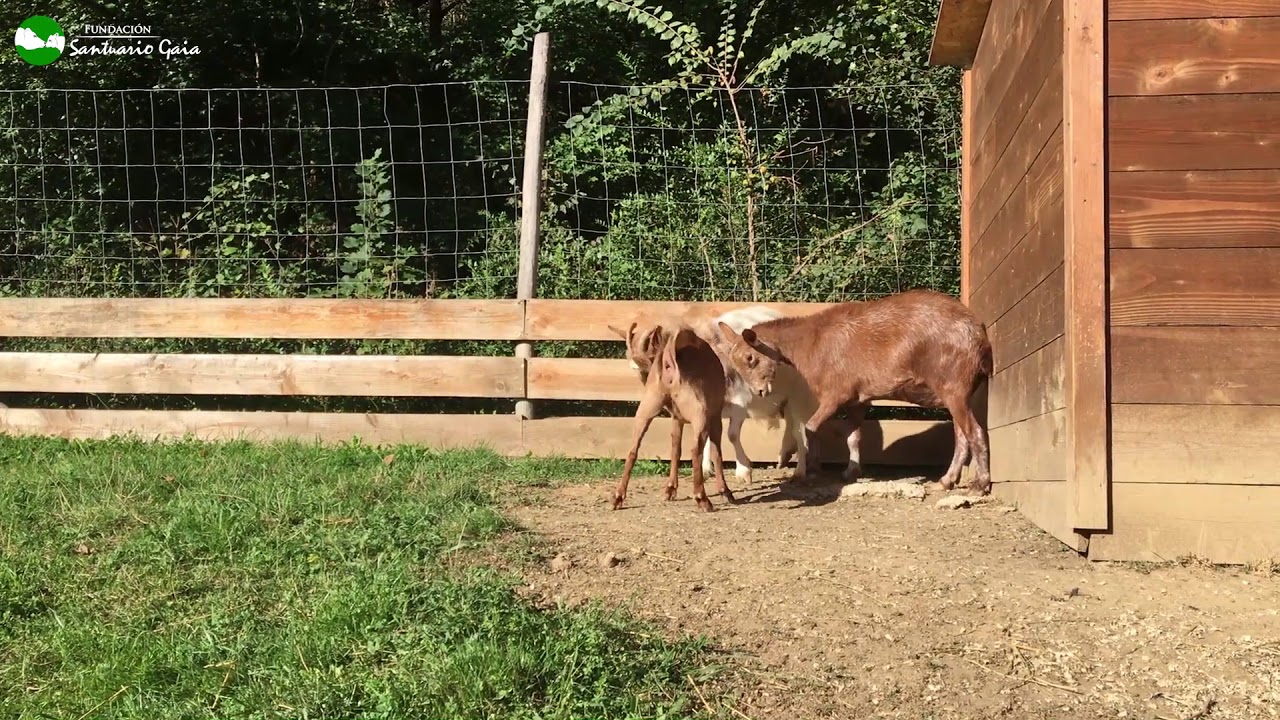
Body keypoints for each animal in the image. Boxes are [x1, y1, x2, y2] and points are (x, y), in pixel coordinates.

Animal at [612, 323, 730, 512]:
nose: (644, 379)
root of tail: (670, 360)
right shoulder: (714, 415)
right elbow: (716, 451)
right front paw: (725, 491)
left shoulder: (676, 417)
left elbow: (675, 447)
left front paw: (670, 489)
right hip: (700, 413)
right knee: (695, 450)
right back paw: (702, 498)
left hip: (647, 407)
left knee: (632, 451)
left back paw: (617, 497)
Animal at [716, 289, 994, 494]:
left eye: (750, 357)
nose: (759, 391)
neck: (809, 343)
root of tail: (979, 336)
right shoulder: (858, 399)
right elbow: (853, 436)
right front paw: (851, 471)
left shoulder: (835, 394)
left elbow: (809, 429)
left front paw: (806, 471)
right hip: (961, 392)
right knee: (962, 436)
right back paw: (947, 480)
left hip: (954, 387)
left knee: (975, 433)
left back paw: (979, 485)